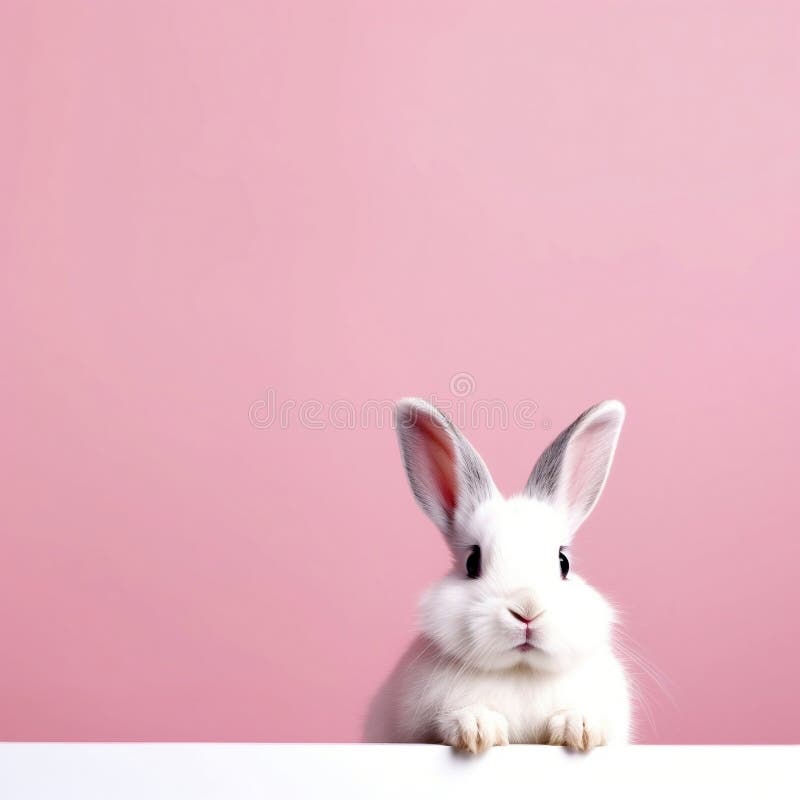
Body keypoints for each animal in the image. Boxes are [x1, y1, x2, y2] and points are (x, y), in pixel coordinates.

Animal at [364, 398, 631, 752]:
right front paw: (478, 729)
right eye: (472, 562)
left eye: (563, 563)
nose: (527, 611)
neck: (520, 671)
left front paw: (581, 729)